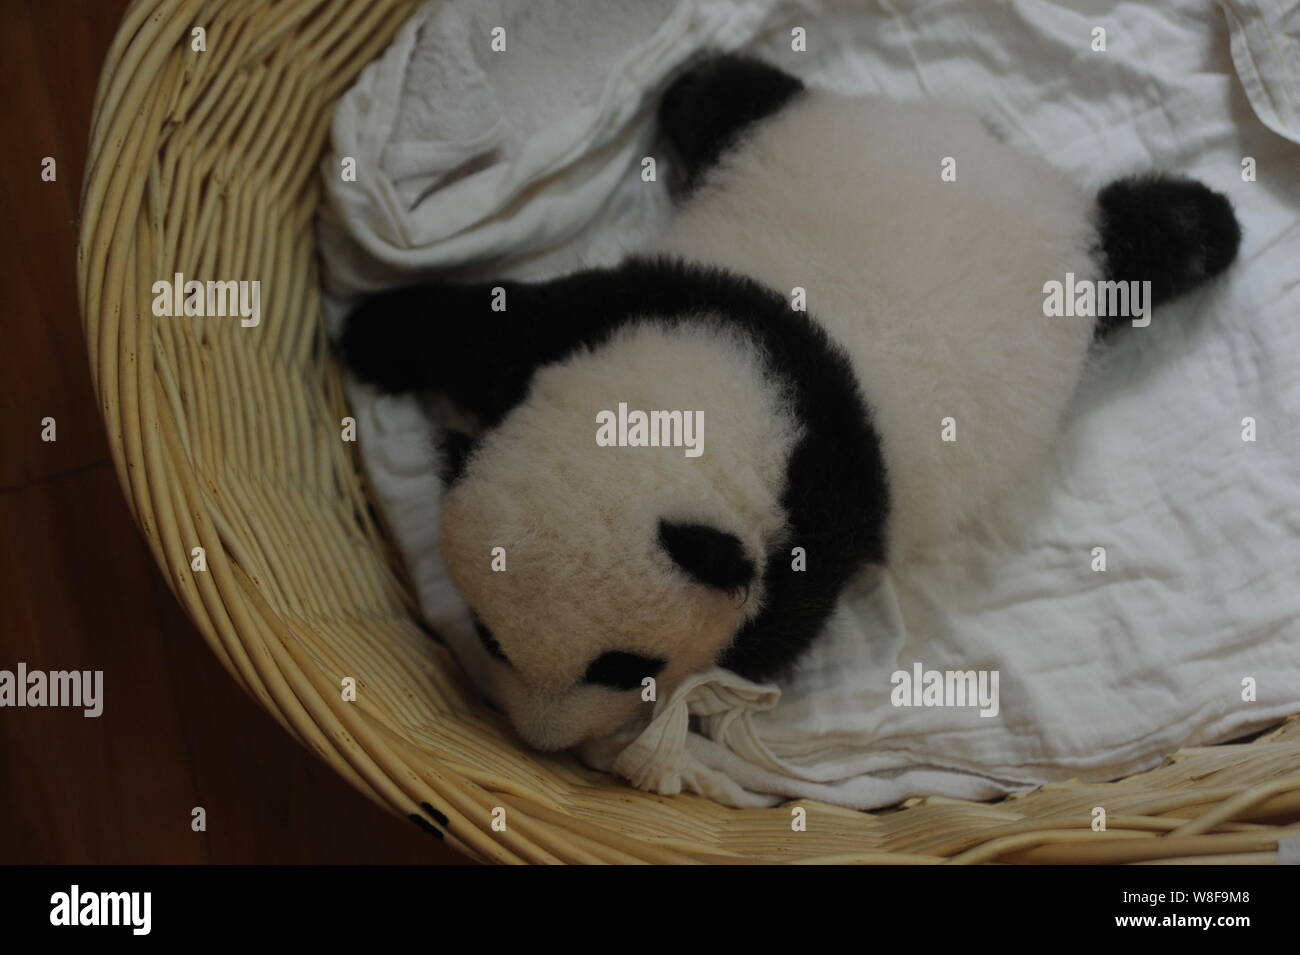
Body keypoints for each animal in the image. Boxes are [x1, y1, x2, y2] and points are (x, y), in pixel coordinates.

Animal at [340, 54, 1241, 752]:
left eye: (624, 667)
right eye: (488, 635)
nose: (543, 741)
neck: (725, 394)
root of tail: (1009, 161)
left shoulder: (826, 500)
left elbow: (779, 624)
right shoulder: (645, 302)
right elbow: (490, 325)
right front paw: (370, 332)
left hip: (1075, 284)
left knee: (1139, 247)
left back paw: (1203, 226)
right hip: (804, 127)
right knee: (728, 97)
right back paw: (692, 79)